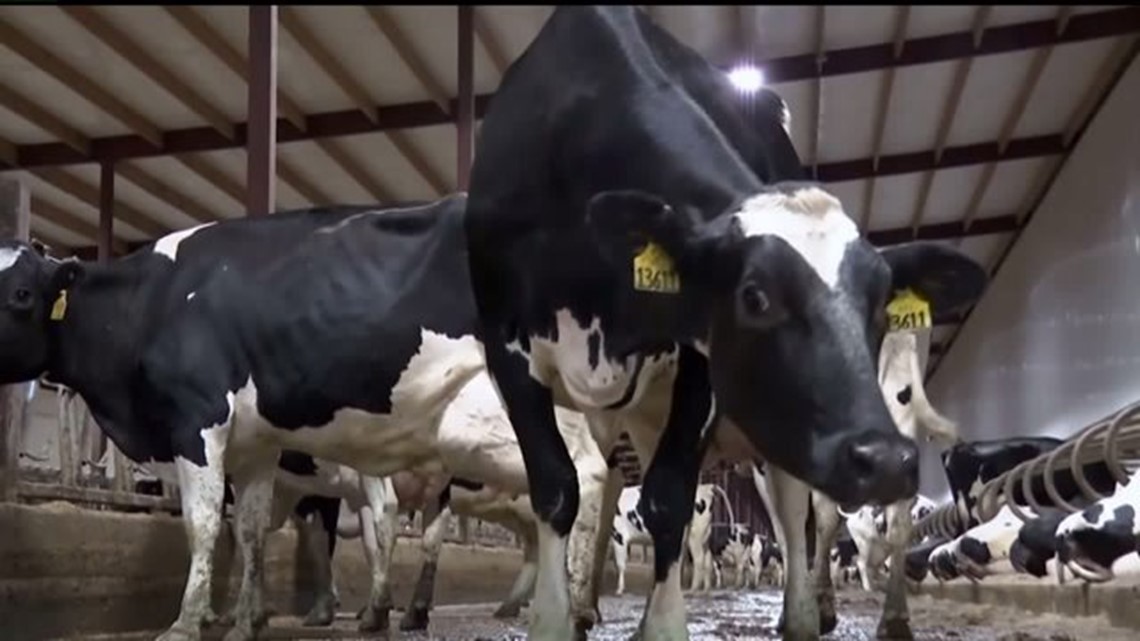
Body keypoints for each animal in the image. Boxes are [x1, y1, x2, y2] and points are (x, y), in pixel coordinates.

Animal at [463, 7, 985, 640]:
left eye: (881, 304)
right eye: (753, 297)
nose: (886, 461)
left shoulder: (700, 363)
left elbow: (668, 497)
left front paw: (662, 627)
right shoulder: (506, 347)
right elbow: (559, 488)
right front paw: (558, 617)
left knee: (801, 511)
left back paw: (815, 612)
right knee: (619, 487)